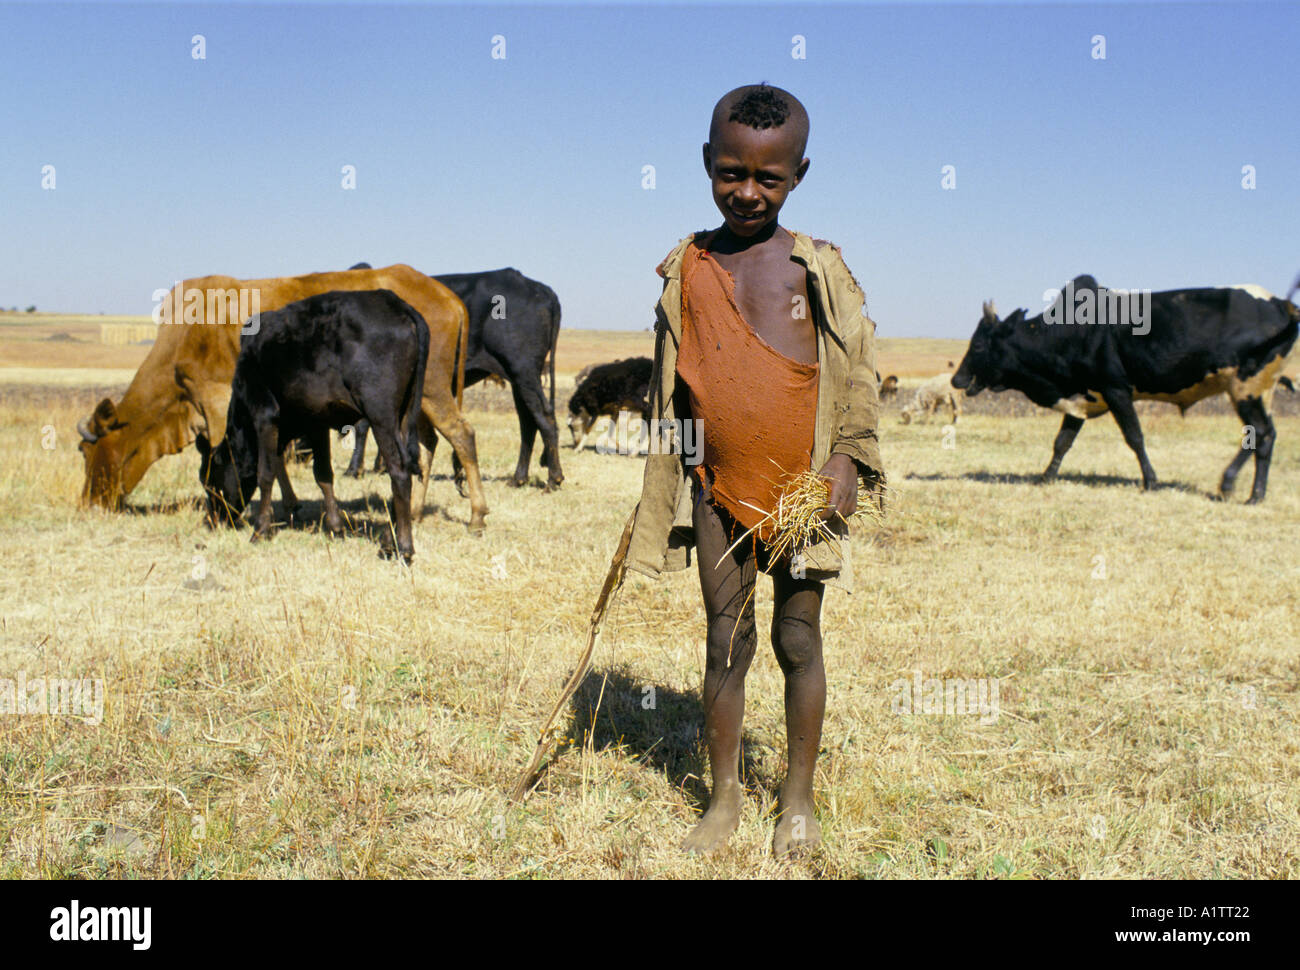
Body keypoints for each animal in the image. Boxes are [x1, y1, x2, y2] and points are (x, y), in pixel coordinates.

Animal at [76, 264, 489, 531]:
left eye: (86, 451)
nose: (87, 505)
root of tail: (447, 295)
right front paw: (291, 505)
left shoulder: (229, 405)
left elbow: (262, 459)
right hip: (417, 402)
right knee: (430, 444)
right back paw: (415, 511)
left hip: (433, 390)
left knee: (462, 435)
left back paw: (476, 515)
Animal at [200, 290, 428, 562]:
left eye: (209, 482)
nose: (212, 521)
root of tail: (397, 304)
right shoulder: (316, 422)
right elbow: (323, 475)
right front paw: (336, 527)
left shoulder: (265, 414)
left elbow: (265, 473)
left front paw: (260, 530)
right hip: (403, 415)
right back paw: (387, 541)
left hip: (380, 414)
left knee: (399, 470)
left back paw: (403, 547)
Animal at [344, 268, 563, 491]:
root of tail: (538, 288)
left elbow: (362, 426)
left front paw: (354, 469)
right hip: (518, 380)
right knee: (528, 421)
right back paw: (519, 478)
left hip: (524, 373)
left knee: (545, 418)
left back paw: (553, 479)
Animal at [951, 275, 1300, 503]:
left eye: (979, 345)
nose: (956, 380)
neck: (1071, 331)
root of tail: (1281, 304)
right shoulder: (1082, 398)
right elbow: (1062, 442)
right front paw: (1046, 477)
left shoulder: (1115, 390)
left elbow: (1135, 437)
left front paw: (1151, 481)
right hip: (1261, 391)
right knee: (1267, 436)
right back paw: (1256, 495)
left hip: (1246, 388)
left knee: (1259, 434)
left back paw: (1229, 485)